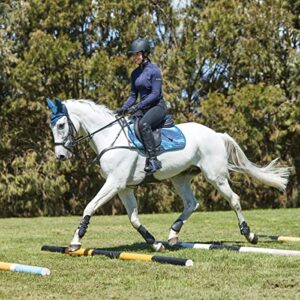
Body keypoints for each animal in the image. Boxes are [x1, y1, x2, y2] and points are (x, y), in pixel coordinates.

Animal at [45, 98, 290, 251]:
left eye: (61, 125)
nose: (60, 156)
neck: (110, 137)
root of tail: (217, 134)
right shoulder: (124, 188)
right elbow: (134, 219)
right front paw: (155, 243)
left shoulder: (114, 183)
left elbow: (89, 207)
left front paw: (75, 241)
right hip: (180, 178)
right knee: (192, 203)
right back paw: (172, 235)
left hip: (215, 176)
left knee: (234, 200)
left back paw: (249, 234)